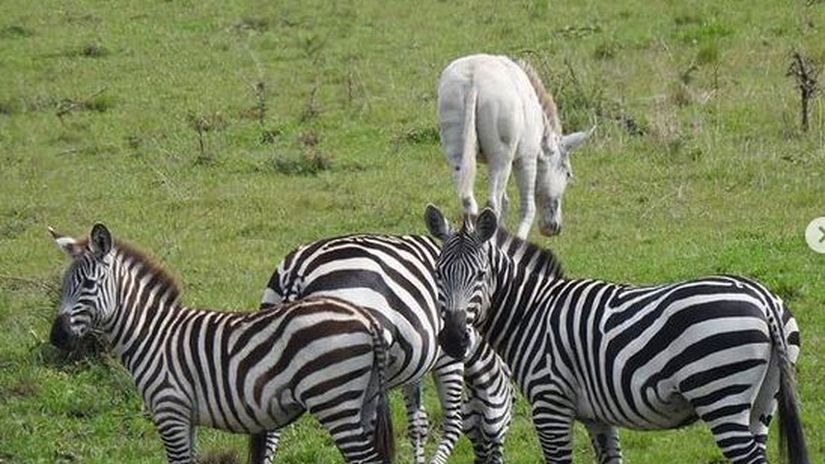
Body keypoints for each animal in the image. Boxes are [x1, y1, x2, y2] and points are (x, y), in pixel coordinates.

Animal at [48, 224, 395, 464]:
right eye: (64, 284)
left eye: (89, 284)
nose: (56, 337)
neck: (151, 333)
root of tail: (365, 318)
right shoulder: (185, 416)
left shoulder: (169, 409)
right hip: (361, 401)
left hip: (334, 400)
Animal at [258, 233, 514, 464]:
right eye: (513, 400)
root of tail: (298, 270)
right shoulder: (447, 359)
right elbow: (454, 423)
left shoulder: (417, 360)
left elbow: (418, 422)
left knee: (269, 431)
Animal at [424, 205, 809, 464]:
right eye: (438, 272)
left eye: (480, 274)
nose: (454, 339)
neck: (531, 311)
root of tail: (763, 297)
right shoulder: (597, 416)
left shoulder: (550, 405)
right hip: (765, 399)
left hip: (721, 395)